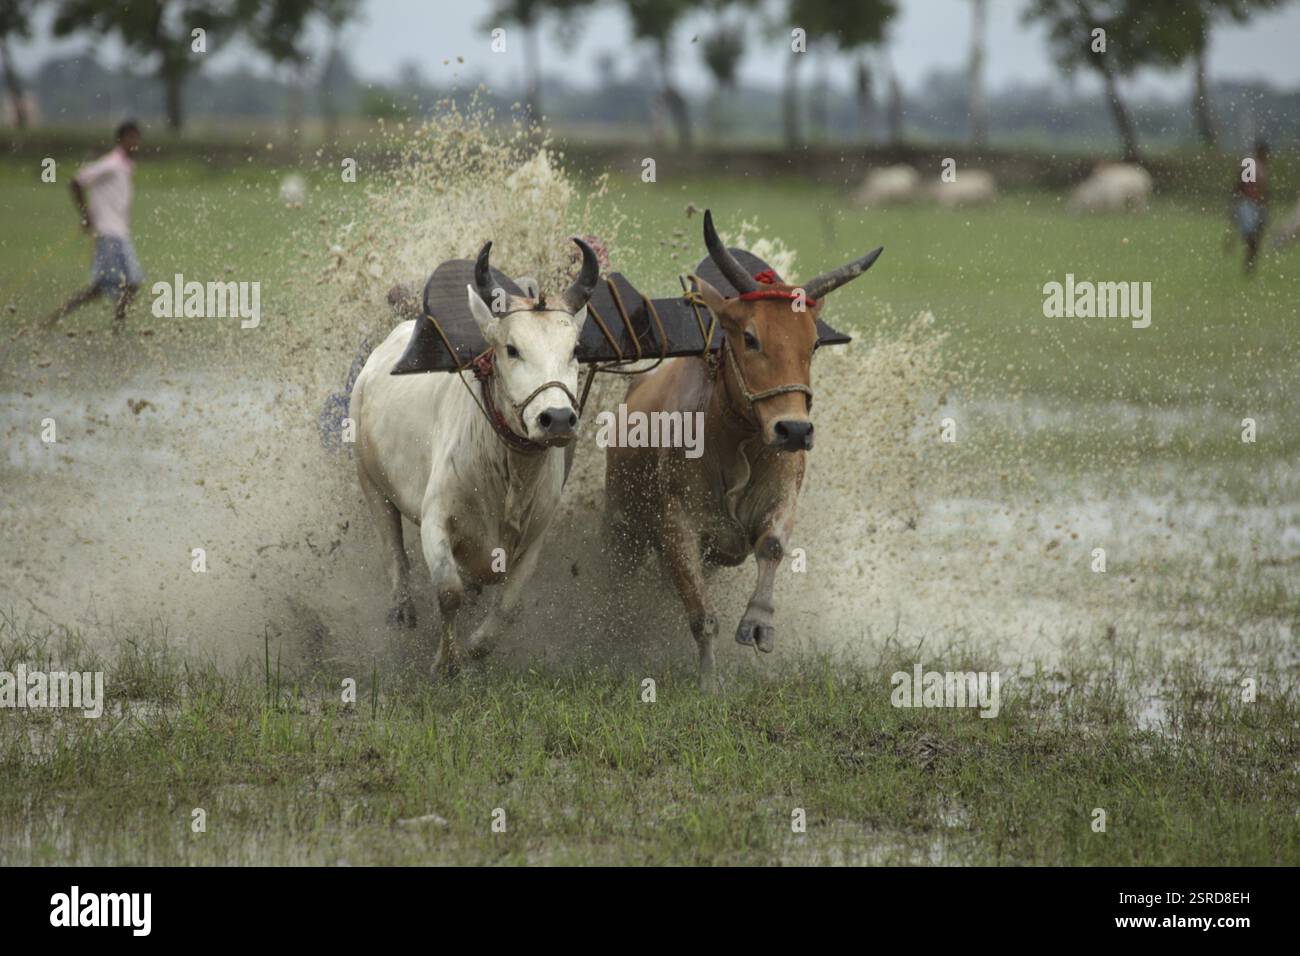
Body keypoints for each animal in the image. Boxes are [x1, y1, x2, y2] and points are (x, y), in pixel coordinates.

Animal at [350, 238, 599, 675]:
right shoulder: (435, 522)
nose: (556, 419)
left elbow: (510, 607)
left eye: (575, 350)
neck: (510, 472)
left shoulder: (535, 538)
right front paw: (446, 664)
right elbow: (449, 592)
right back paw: (401, 609)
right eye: (511, 349)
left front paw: (478, 647)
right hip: (370, 482)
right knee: (393, 550)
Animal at [604, 211, 883, 690]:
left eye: (812, 343)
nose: (794, 430)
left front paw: (758, 623)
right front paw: (709, 684)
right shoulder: (676, 527)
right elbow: (702, 616)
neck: (736, 443)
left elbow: (771, 547)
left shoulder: (782, 497)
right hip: (621, 529)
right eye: (750, 338)